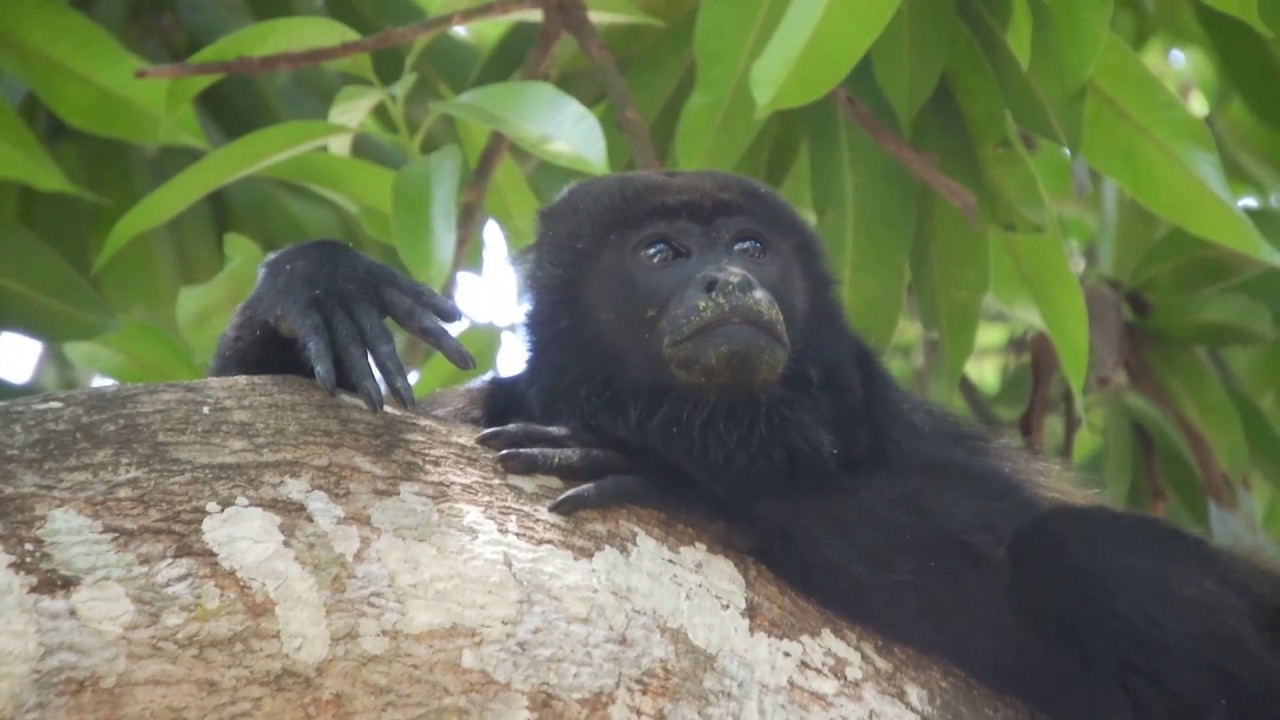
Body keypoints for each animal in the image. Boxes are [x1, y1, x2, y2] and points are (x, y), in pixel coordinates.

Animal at [211, 170, 1280, 719]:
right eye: (663, 254)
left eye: (750, 247)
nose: (730, 282)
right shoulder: (486, 407)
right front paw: (312, 283)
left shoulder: (869, 402)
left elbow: (968, 534)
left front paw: (673, 475)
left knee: (1081, 552)